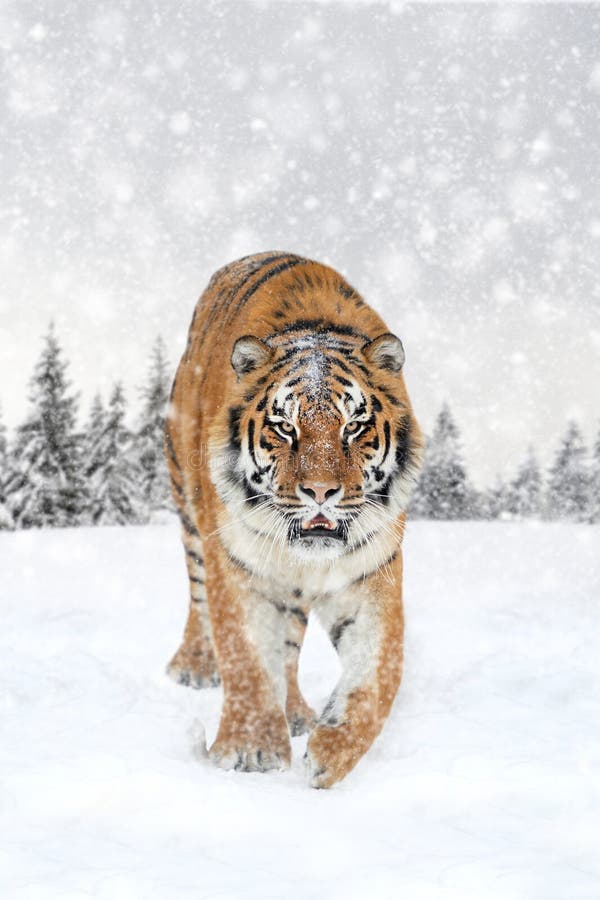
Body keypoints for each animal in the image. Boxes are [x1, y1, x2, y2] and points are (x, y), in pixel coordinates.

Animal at [165, 251, 424, 788]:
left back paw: (299, 715)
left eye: (354, 426)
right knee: (198, 598)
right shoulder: (237, 565)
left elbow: (380, 673)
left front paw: (330, 752)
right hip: (189, 511)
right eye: (285, 427)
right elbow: (245, 656)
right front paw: (249, 753)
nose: (320, 492)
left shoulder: (372, 573)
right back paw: (194, 667)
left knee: (286, 650)